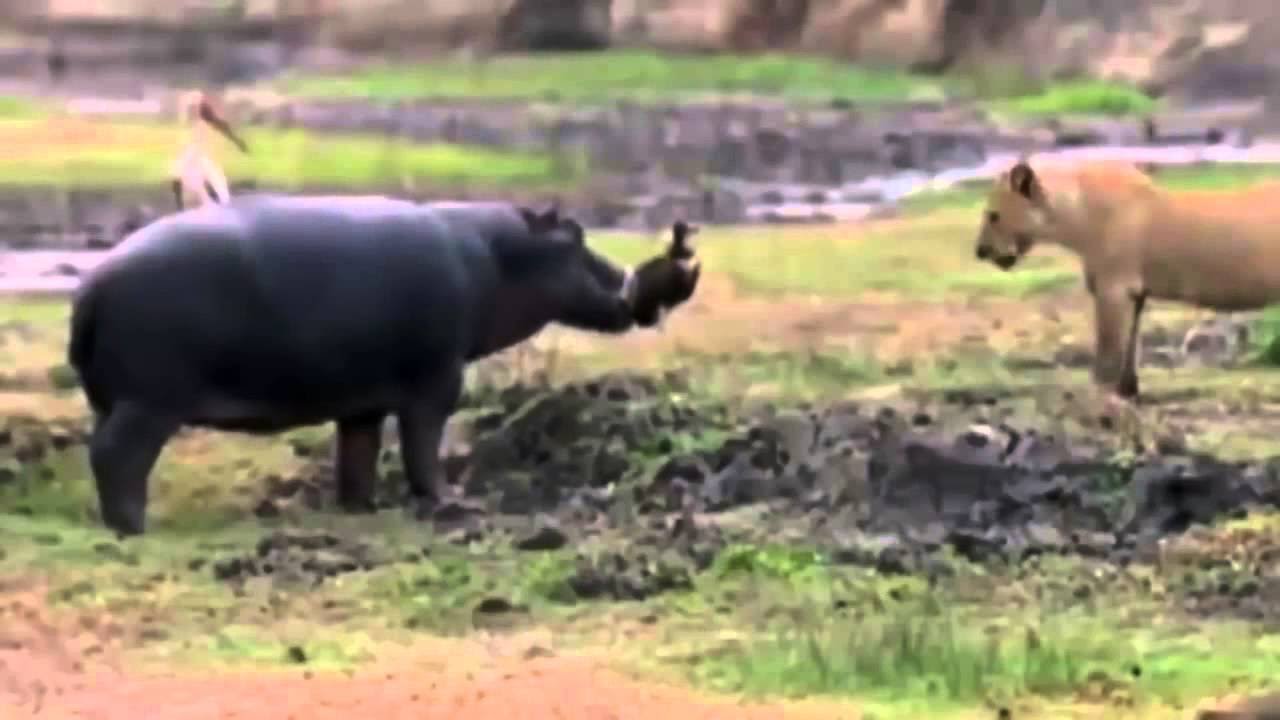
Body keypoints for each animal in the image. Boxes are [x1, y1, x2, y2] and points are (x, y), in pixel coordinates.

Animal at [68, 195, 699, 536]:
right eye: (573, 236)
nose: (639, 280)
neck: (501, 255)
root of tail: (93, 284)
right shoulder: (436, 383)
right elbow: (423, 446)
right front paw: (452, 502)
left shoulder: (363, 399)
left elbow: (359, 454)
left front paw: (359, 508)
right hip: (150, 402)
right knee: (116, 456)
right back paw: (134, 526)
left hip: (117, 400)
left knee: (103, 451)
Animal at [974, 158, 1280, 402]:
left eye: (993, 215)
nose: (980, 251)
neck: (1079, 214)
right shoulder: (1135, 293)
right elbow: (1130, 346)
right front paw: (1127, 392)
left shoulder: (1114, 289)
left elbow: (1109, 348)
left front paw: (1099, 398)